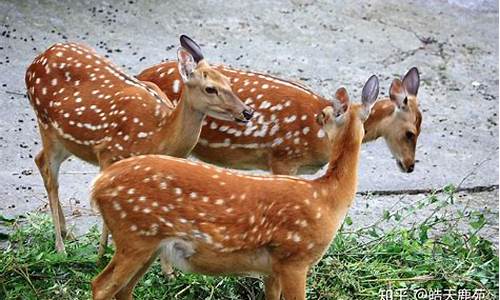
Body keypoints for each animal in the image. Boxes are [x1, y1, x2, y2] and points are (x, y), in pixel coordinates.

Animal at [24, 35, 252, 253]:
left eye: (228, 82)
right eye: (210, 89)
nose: (247, 112)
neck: (157, 134)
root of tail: (35, 61)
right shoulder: (107, 152)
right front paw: (101, 253)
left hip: (66, 140)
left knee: (39, 159)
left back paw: (67, 232)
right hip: (45, 123)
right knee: (51, 177)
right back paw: (60, 247)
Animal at [90, 75, 378, 300]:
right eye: (325, 114)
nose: (318, 117)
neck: (328, 197)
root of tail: (98, 185)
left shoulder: (273, 266)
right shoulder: (294, 257)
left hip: (147, 243)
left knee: (122, 290)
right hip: (134, 235)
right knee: (101, 286)